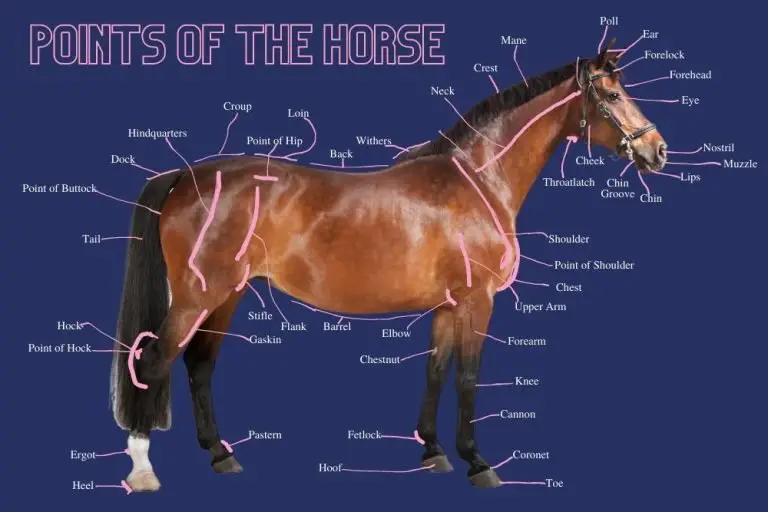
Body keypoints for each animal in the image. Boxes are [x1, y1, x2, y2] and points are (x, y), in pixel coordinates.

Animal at [110, 39, 668, 492]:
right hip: (197, 296)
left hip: (227, 295)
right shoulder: (477, 301)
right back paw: (144, 470)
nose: (657, 150)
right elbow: (468, 378)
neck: (478, 180)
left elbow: (436, 372)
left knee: (199, 365)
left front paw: (434, 452)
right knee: (154, 361)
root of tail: (185, 177)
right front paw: (478, 463)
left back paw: (221, 455)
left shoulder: (447, 305)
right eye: (611, 96)